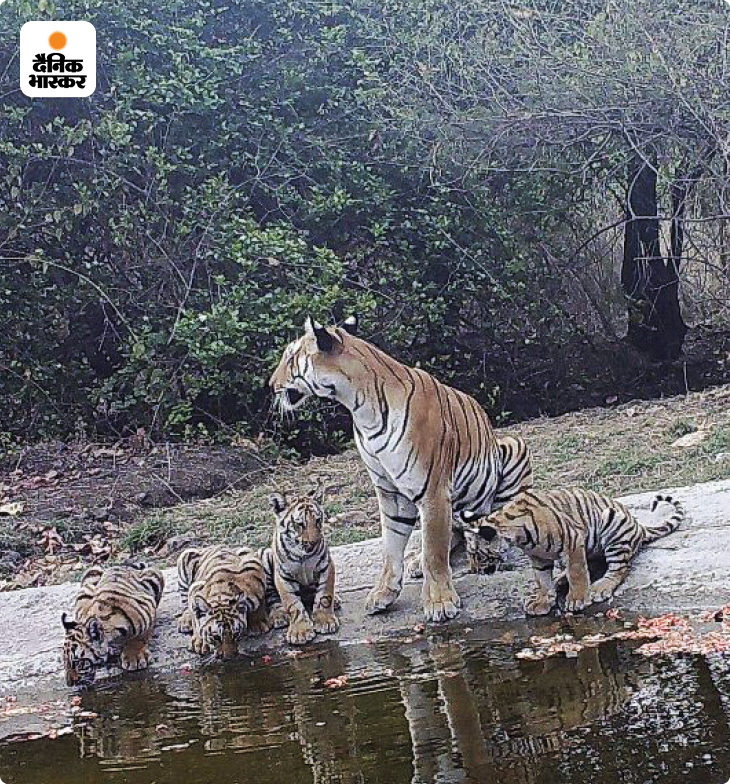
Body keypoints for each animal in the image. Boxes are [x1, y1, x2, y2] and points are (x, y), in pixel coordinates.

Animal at [259, 490, 340, 645]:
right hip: (264, 556)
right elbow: (293, 604)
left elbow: (324, 595)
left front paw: (325, 621)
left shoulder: (326, 566)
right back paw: (279, 616)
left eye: (318, 521)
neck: (303, 554)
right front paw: (300, 632)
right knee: (272, 598)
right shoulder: (283, 576)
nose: (314, 543)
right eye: (300, 524)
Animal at [269, 315, 533, 623]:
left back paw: (494, 544)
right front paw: (383, 593)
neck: (359, 406)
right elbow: (392, 546)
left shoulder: (432, 491)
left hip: (512, 445)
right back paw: (417, 562)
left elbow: (434, 550)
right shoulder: (390, 492)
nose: (270, 384)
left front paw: (439, 601)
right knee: (455, 531)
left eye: (290, 358)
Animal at [463, 488, 684, 615]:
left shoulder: (573, 540)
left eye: (477, 555)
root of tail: (639, 526)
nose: (474, 571)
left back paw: (600, 587)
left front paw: (577, 600)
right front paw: (542, 601)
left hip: (612, 522)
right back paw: (560, 579)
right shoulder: (538, 557)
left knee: (619, 568)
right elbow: (543, 580)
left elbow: (577, 572)